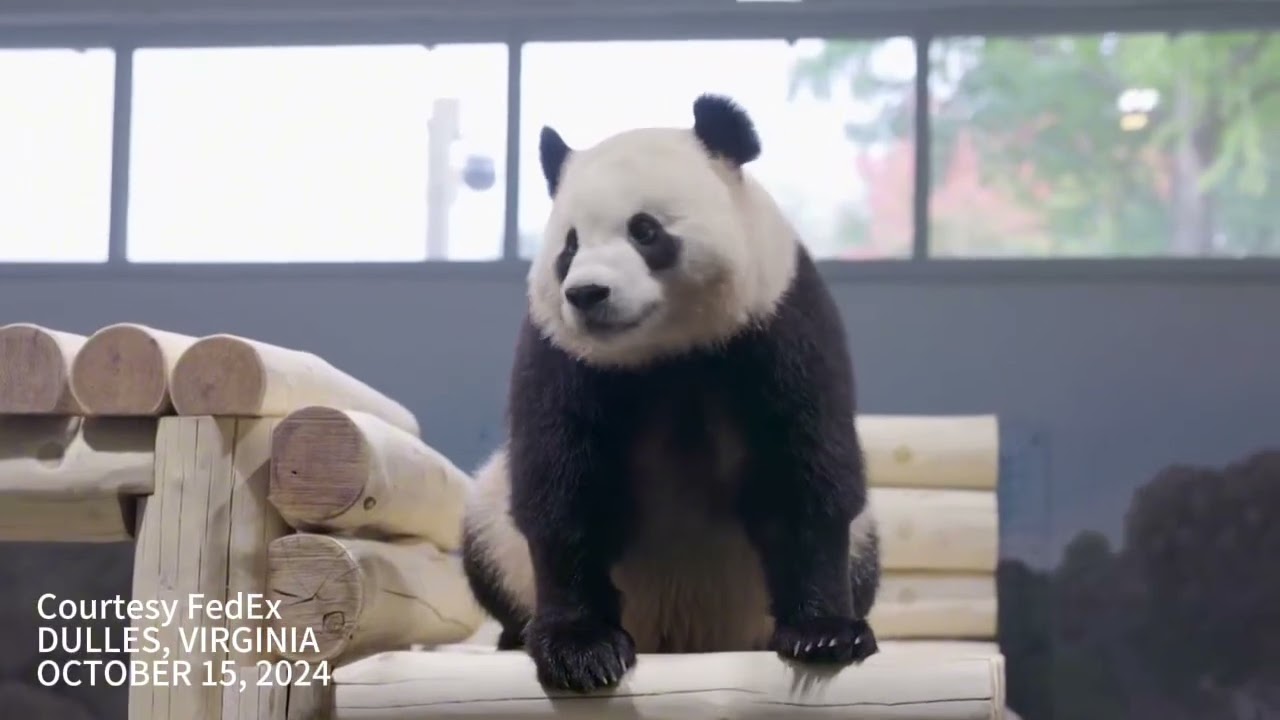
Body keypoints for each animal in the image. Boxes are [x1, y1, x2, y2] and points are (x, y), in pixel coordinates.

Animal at [460, 93, 881, 693]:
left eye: (645, 230)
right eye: (569, 245)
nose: (587, 293)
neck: (667, 351)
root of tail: (688, 639)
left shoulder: (780, 324)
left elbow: (804, 471)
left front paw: (823, 634)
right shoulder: (563, 357)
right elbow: (563, 487)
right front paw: (581, 649)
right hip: (496, 533)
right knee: (486, 540)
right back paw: (514, 634)